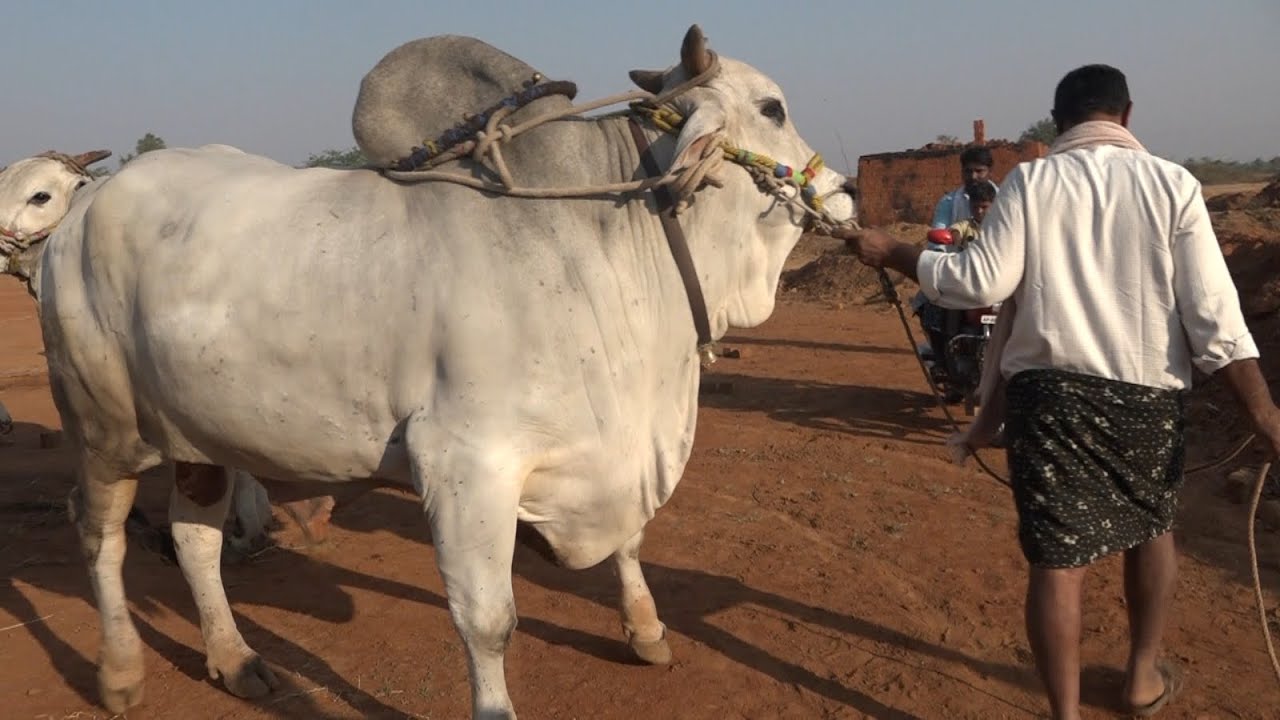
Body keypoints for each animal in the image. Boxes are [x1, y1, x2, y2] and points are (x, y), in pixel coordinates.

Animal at [38, 26, 854, 719]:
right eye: (773, 107)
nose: (845, 192)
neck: (605, 240)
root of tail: (80, 210)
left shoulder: (611, 443)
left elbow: (629, 542)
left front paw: (646, 630)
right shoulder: (465, 464)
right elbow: (488, 621)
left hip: (198, 432)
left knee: (195, 537)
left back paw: (235, 659)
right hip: (104, 423)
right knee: (99, 535)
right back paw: (120, 672)